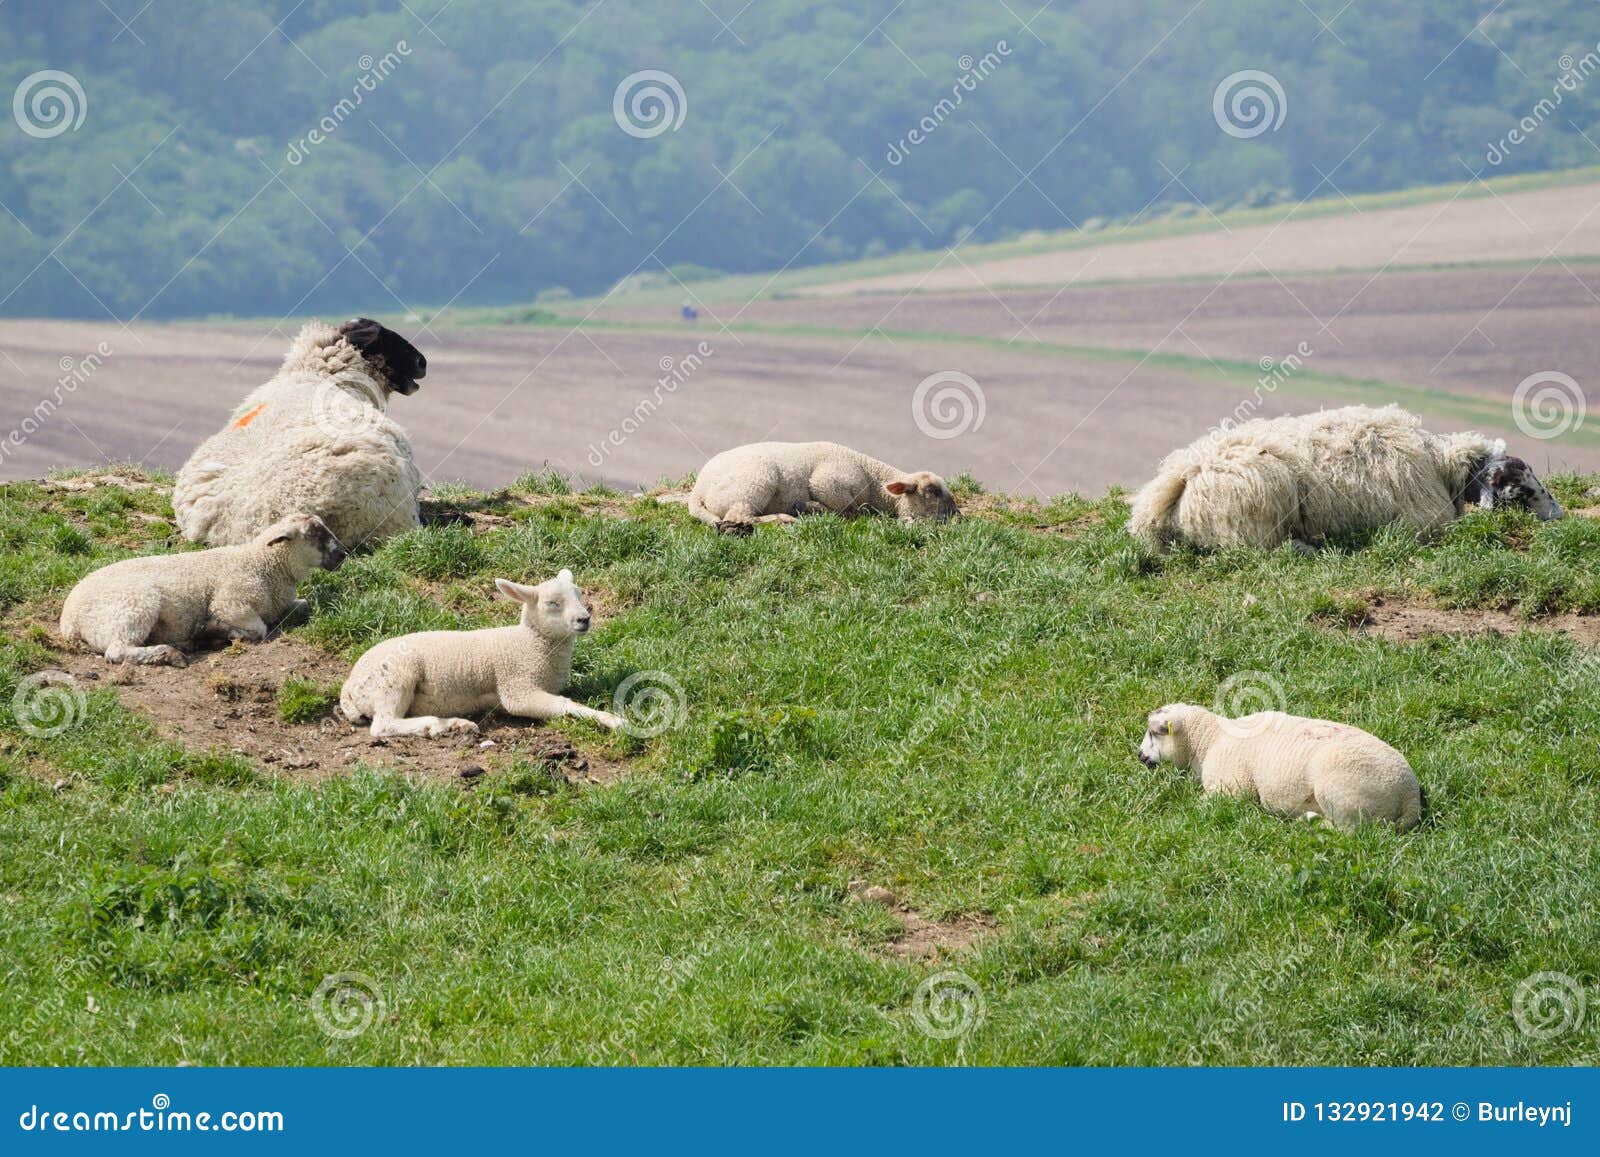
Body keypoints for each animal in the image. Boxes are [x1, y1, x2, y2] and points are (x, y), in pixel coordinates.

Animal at [60, 513, 346, 667]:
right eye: (313, 533)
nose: (343, 554)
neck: (263, 565)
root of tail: (69, 621)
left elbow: (303, 605)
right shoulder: (231, 602)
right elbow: (259, 629)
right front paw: (216, 630)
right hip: (135, 606)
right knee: (117, 651)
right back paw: (170, 653)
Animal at [338, 569, 624, 739]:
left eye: (579, 595)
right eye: (552, 603)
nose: (584, 619)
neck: (529, 643)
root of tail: (349, 686)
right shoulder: (517, 688)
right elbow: (566, 705)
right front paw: (614, 721)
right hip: (394, 678)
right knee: (384, 724)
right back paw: (443, 725)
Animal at [684, 441, 960, 535]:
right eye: (933, 492)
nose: (958, 516)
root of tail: (698, 491)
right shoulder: (829, 483)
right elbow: (850, 511)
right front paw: (809, 506)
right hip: (754, 482)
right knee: (739, 517)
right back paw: (785, 518)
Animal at [1127, 404, 1562, 552]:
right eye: (1521, 490)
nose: (1559, 518)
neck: (1439, 463)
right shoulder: (1423, 523)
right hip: (1257, 507)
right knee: (1256, 550)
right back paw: (1307, 547)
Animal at [1137, 703, 1422, 831]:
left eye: (1153, 733)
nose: (1139, 755)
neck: (1209, 740)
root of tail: (1410, 794)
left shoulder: (1231, 789)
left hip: (1343, 794)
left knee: (1348, 830)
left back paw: (1311, 821)